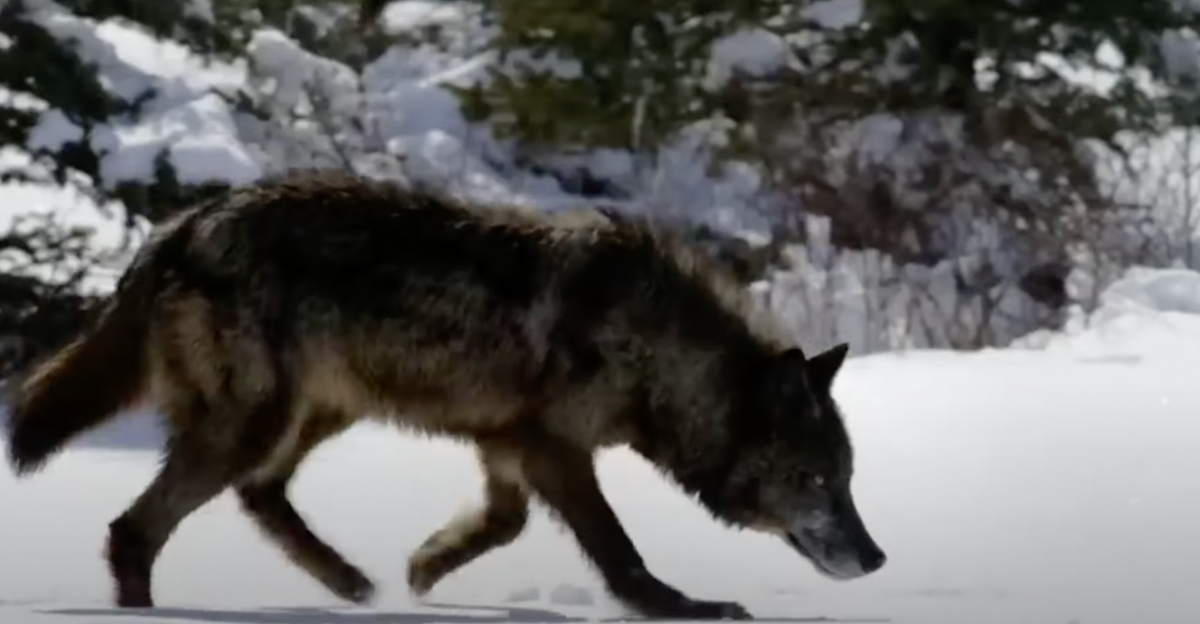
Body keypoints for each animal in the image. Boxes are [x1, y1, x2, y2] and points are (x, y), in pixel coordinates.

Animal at [3, 171, 886, 619]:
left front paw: (424, 572)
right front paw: (684, 608)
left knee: (257, 496)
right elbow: (619, 551)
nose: (876, 558)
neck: (656, 349)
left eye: (847, 481)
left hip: (318, 411)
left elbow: (500, 524)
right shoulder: (553, 448)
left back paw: (351, 585)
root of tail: (180, 225)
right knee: (135, 529)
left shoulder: (507, 446)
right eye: (815, 481)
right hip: (258, 422)